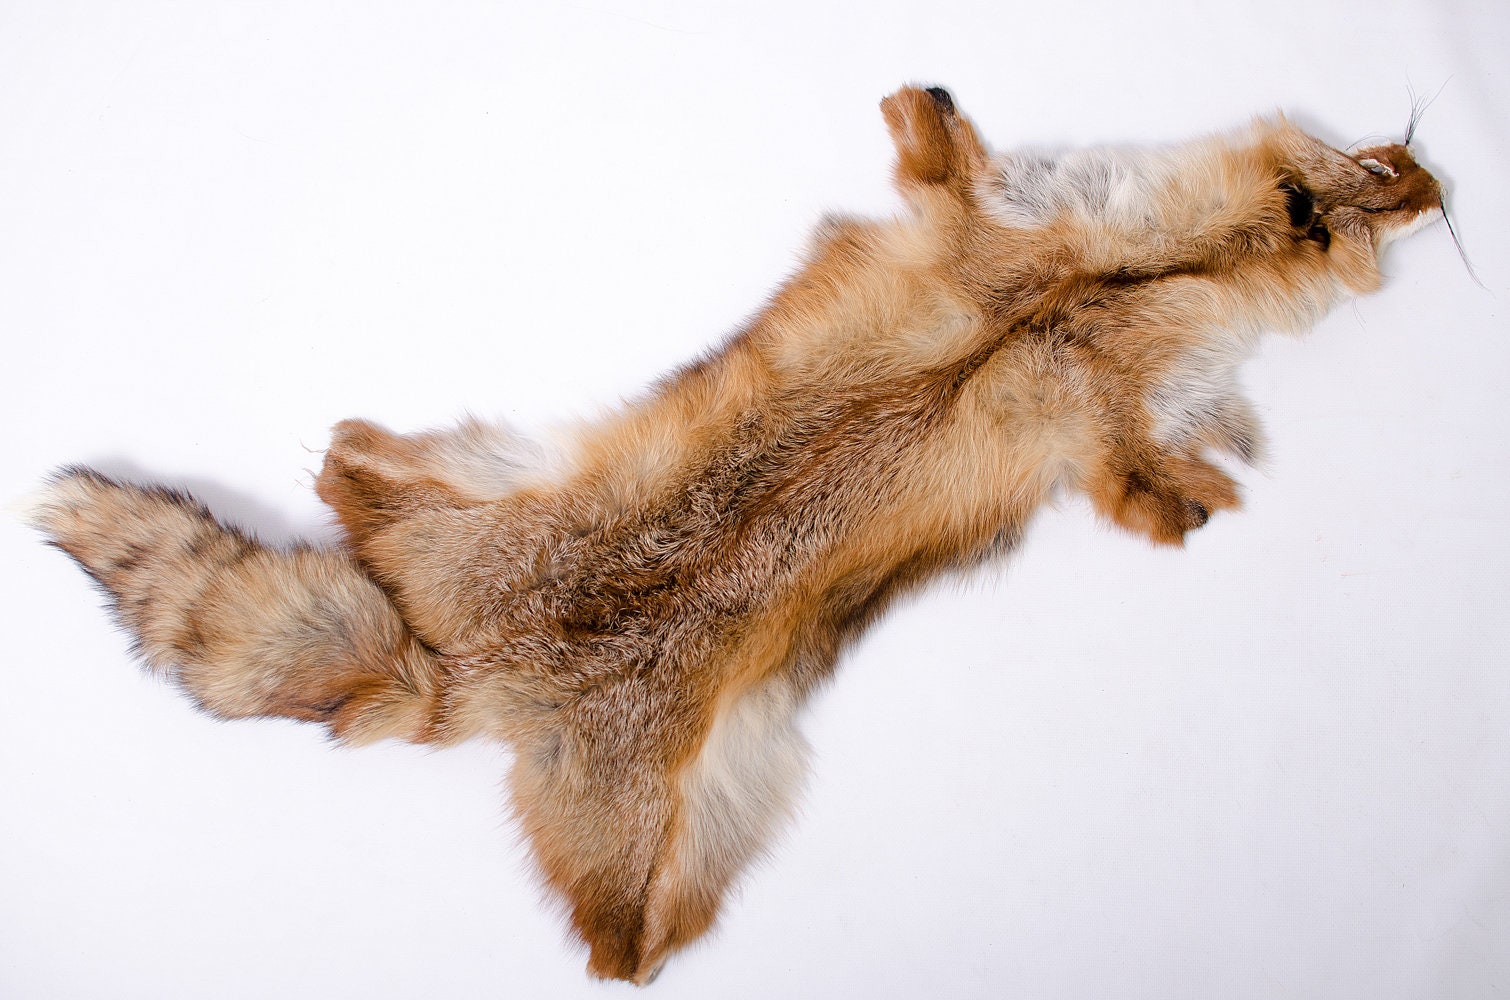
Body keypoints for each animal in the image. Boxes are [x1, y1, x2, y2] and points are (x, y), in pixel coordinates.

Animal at [27, 85, 1446, 984]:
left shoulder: (1038, 328)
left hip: (436, 482)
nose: (1434, 180)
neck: (1100, 285)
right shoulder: (1016, 296)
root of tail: (463, 677)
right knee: (618, 953)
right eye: (1346, 194)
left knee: (338, 467)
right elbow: (954, 174)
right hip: (665, 846)